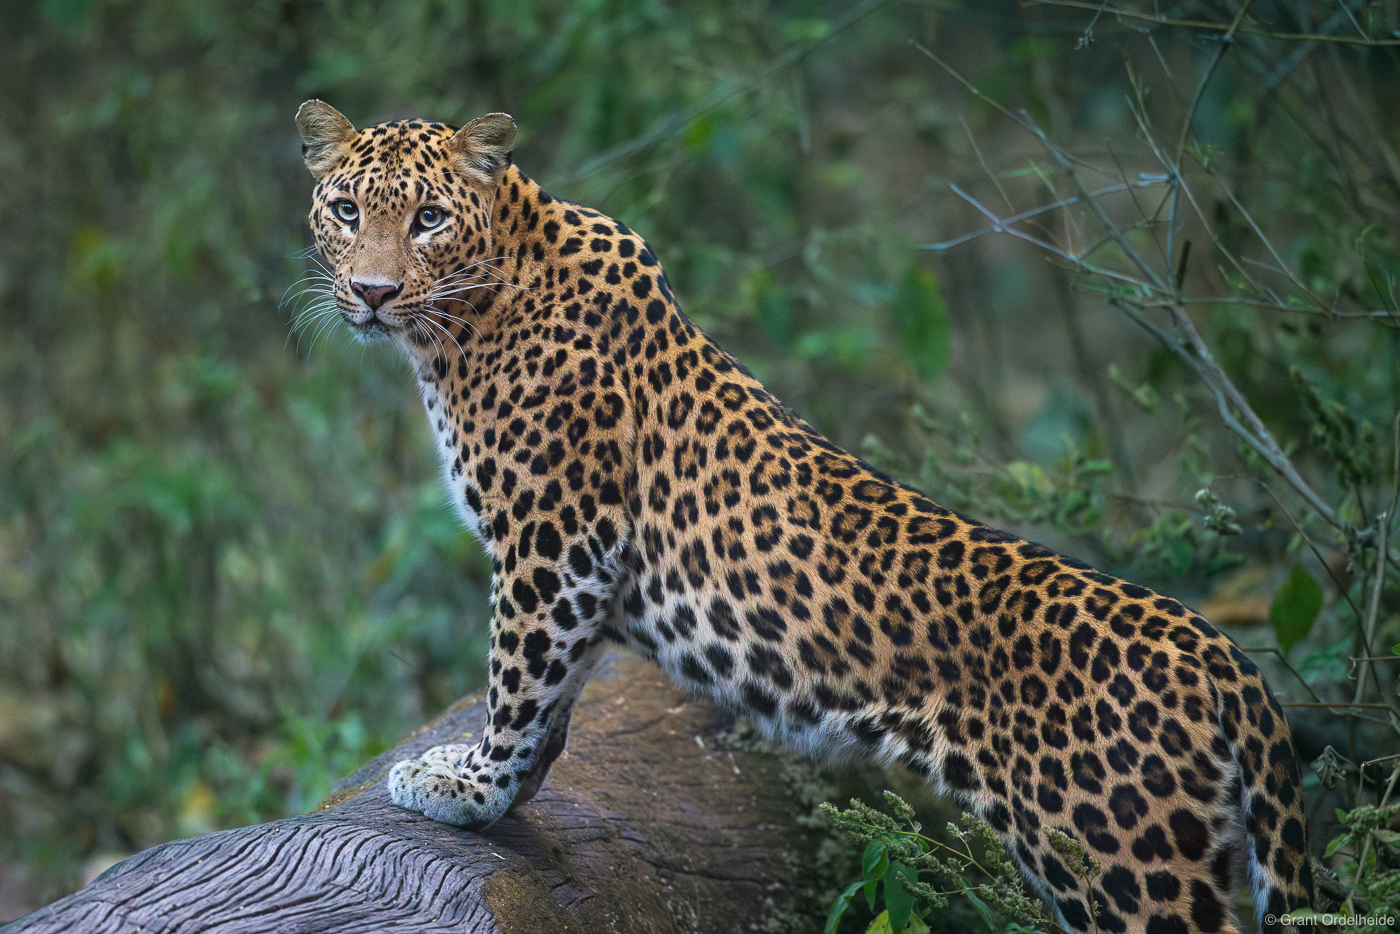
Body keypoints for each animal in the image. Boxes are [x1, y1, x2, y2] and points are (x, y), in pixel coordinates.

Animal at [293, 99, 1315, 934]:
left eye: (427, 219)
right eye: (346, 212)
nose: (375, 293)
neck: (466, 319)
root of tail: (1225, 660)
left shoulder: (555, 543)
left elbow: (519, 679)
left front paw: (466, 788)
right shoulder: (574, 566)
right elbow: (555, 701)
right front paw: (499, 792)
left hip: (1127, 864)